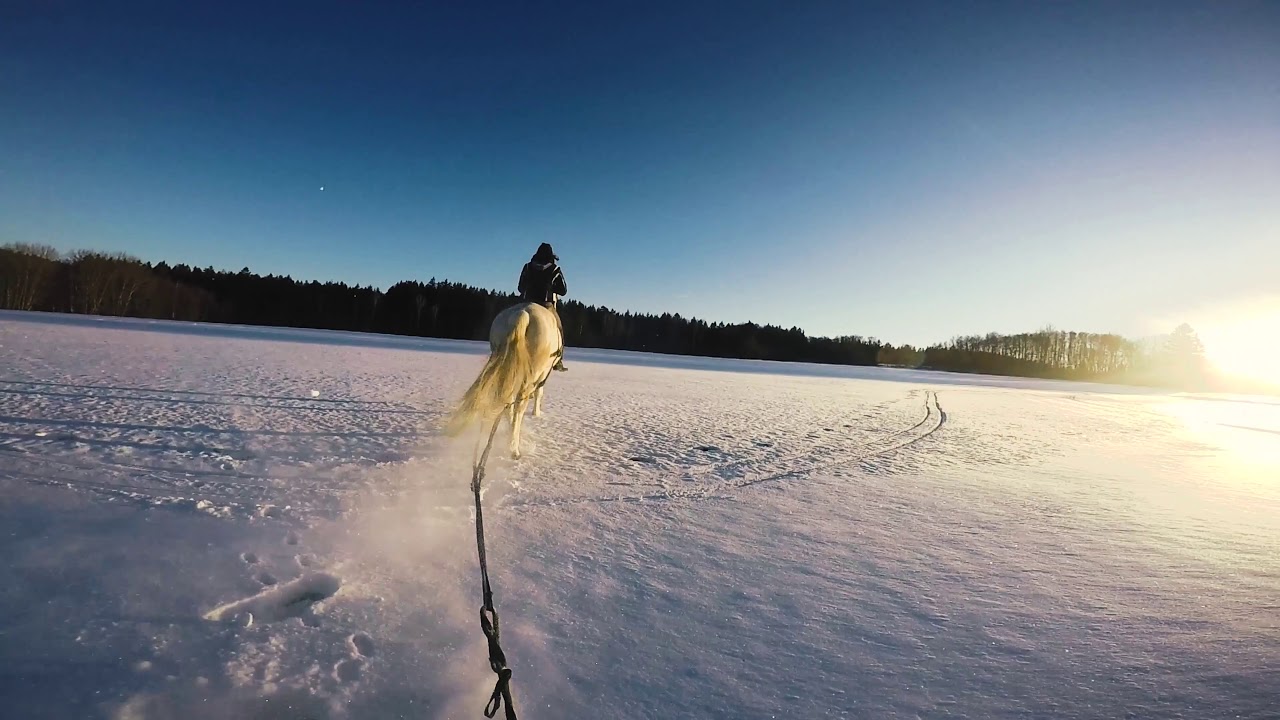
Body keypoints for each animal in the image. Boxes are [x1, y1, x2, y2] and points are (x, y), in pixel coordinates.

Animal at [445, 301, 563, 458]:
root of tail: (521, 313)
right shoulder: (542, 374)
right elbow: (539, 393)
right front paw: (537, 413)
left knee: (508, 399)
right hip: (533, 372)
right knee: (519, 405)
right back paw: (514, 449)